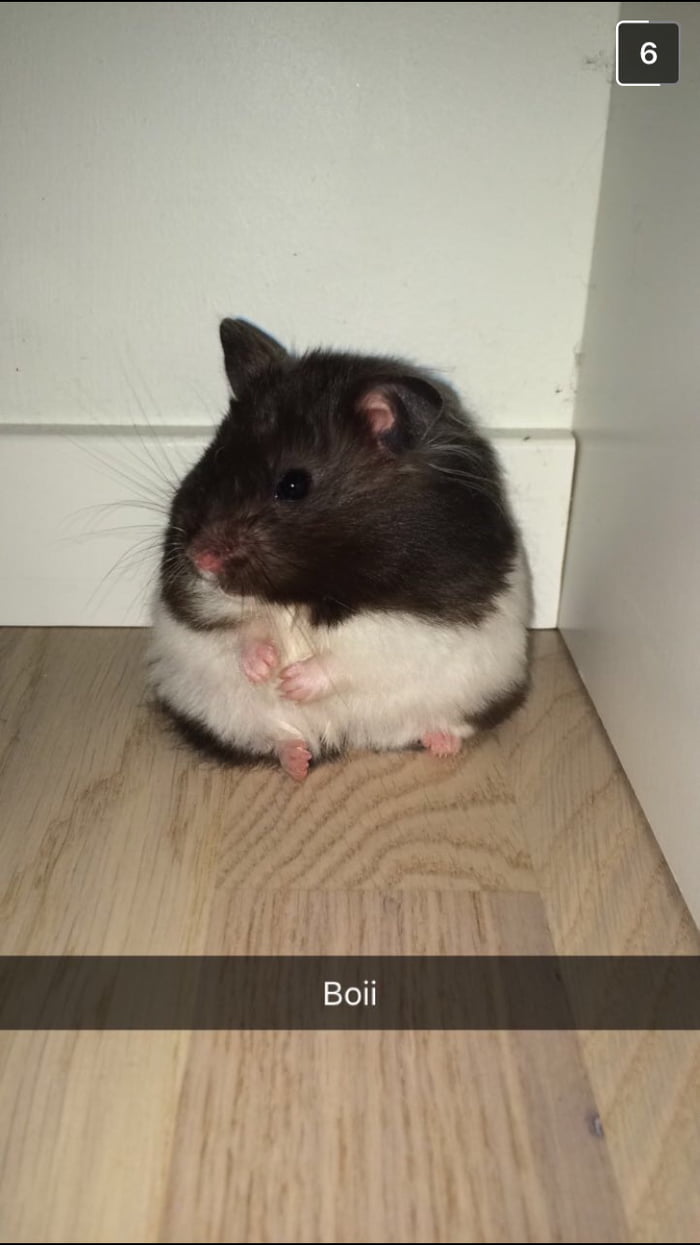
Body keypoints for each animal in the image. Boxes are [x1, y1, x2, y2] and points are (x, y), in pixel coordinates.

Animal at [148, 318, 531, 780]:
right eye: (214, 456)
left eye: (293, 484)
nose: (200, 559)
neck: (308, 589)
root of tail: (343, 735)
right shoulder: (198, 600)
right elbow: (238, 627)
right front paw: (267, 668)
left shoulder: (416, 622)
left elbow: (356, 648)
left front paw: (293, 681)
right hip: (215, 708)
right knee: (274, 738)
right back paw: (297, 759)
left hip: (473, 690)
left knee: (439, 724)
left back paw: (440, 743)